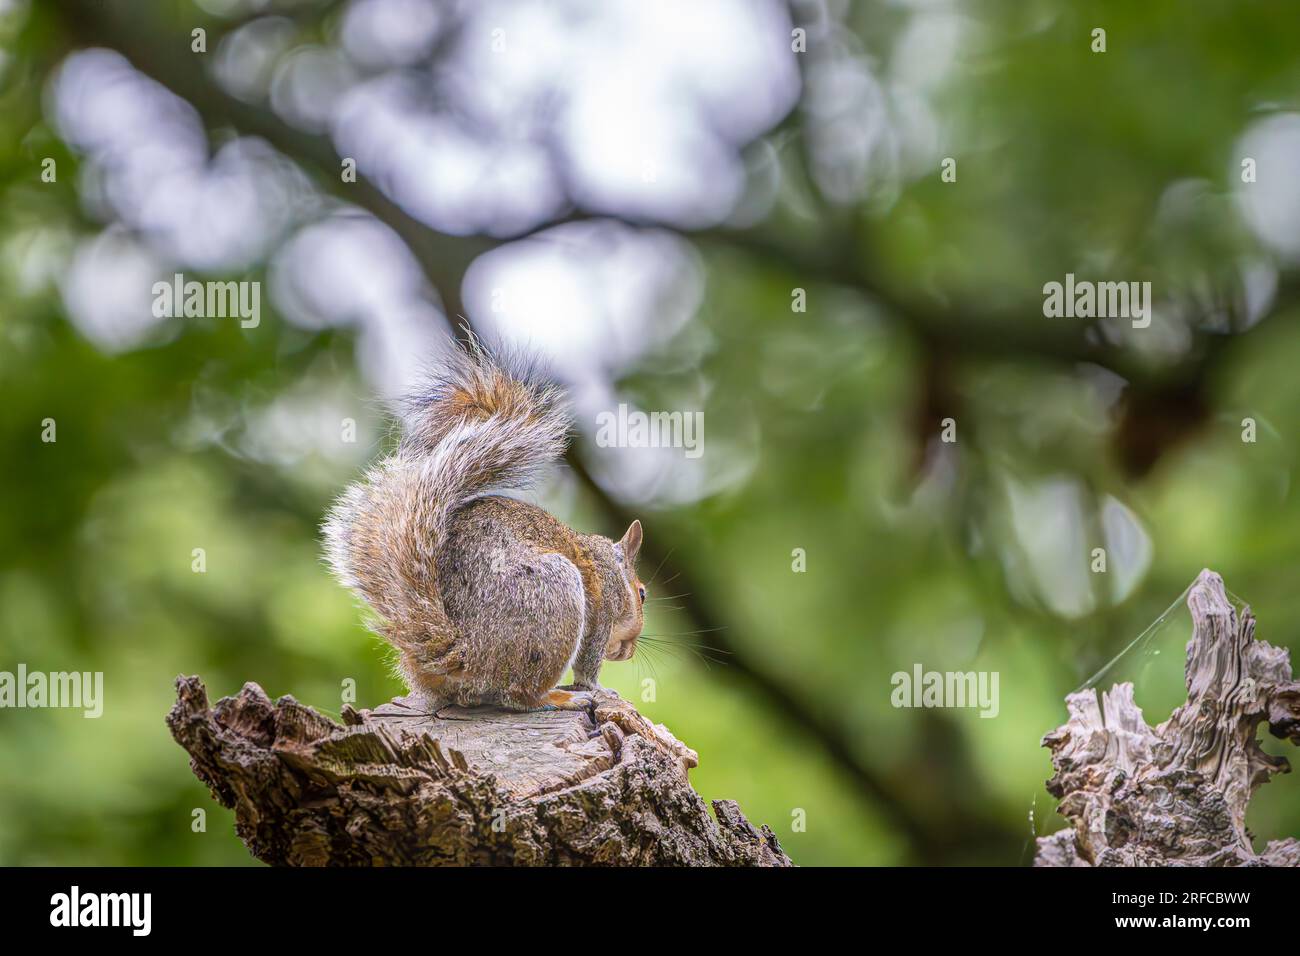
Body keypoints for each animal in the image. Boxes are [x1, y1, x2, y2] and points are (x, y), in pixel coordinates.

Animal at [322, 341, 645, 712]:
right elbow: (589, 664)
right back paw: (560, 697)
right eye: (642, 593)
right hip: (555, 593)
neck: (609, 565)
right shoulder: (603, 609)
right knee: (518, 695)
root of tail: (464, 655)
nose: (627, 651)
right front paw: (600, 689)